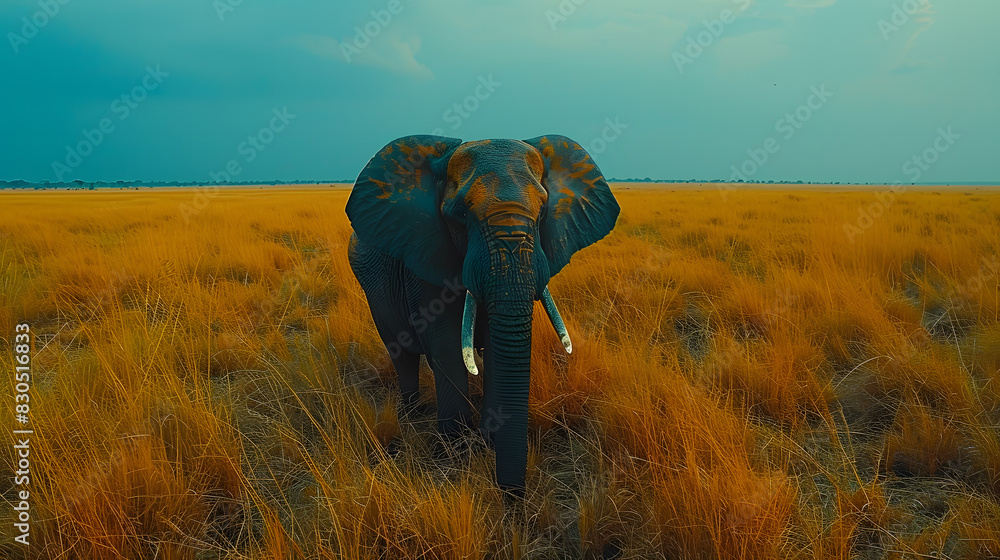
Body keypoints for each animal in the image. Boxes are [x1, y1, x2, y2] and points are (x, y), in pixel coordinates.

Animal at [345, 134, 620, 492]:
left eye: (543, 209)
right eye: (460, 214)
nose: (513, 497)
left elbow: (493, 343)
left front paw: (489, 439)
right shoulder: (426, 254)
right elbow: (446, 344)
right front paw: (454, 448)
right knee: (401, 352)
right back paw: (412, 413)